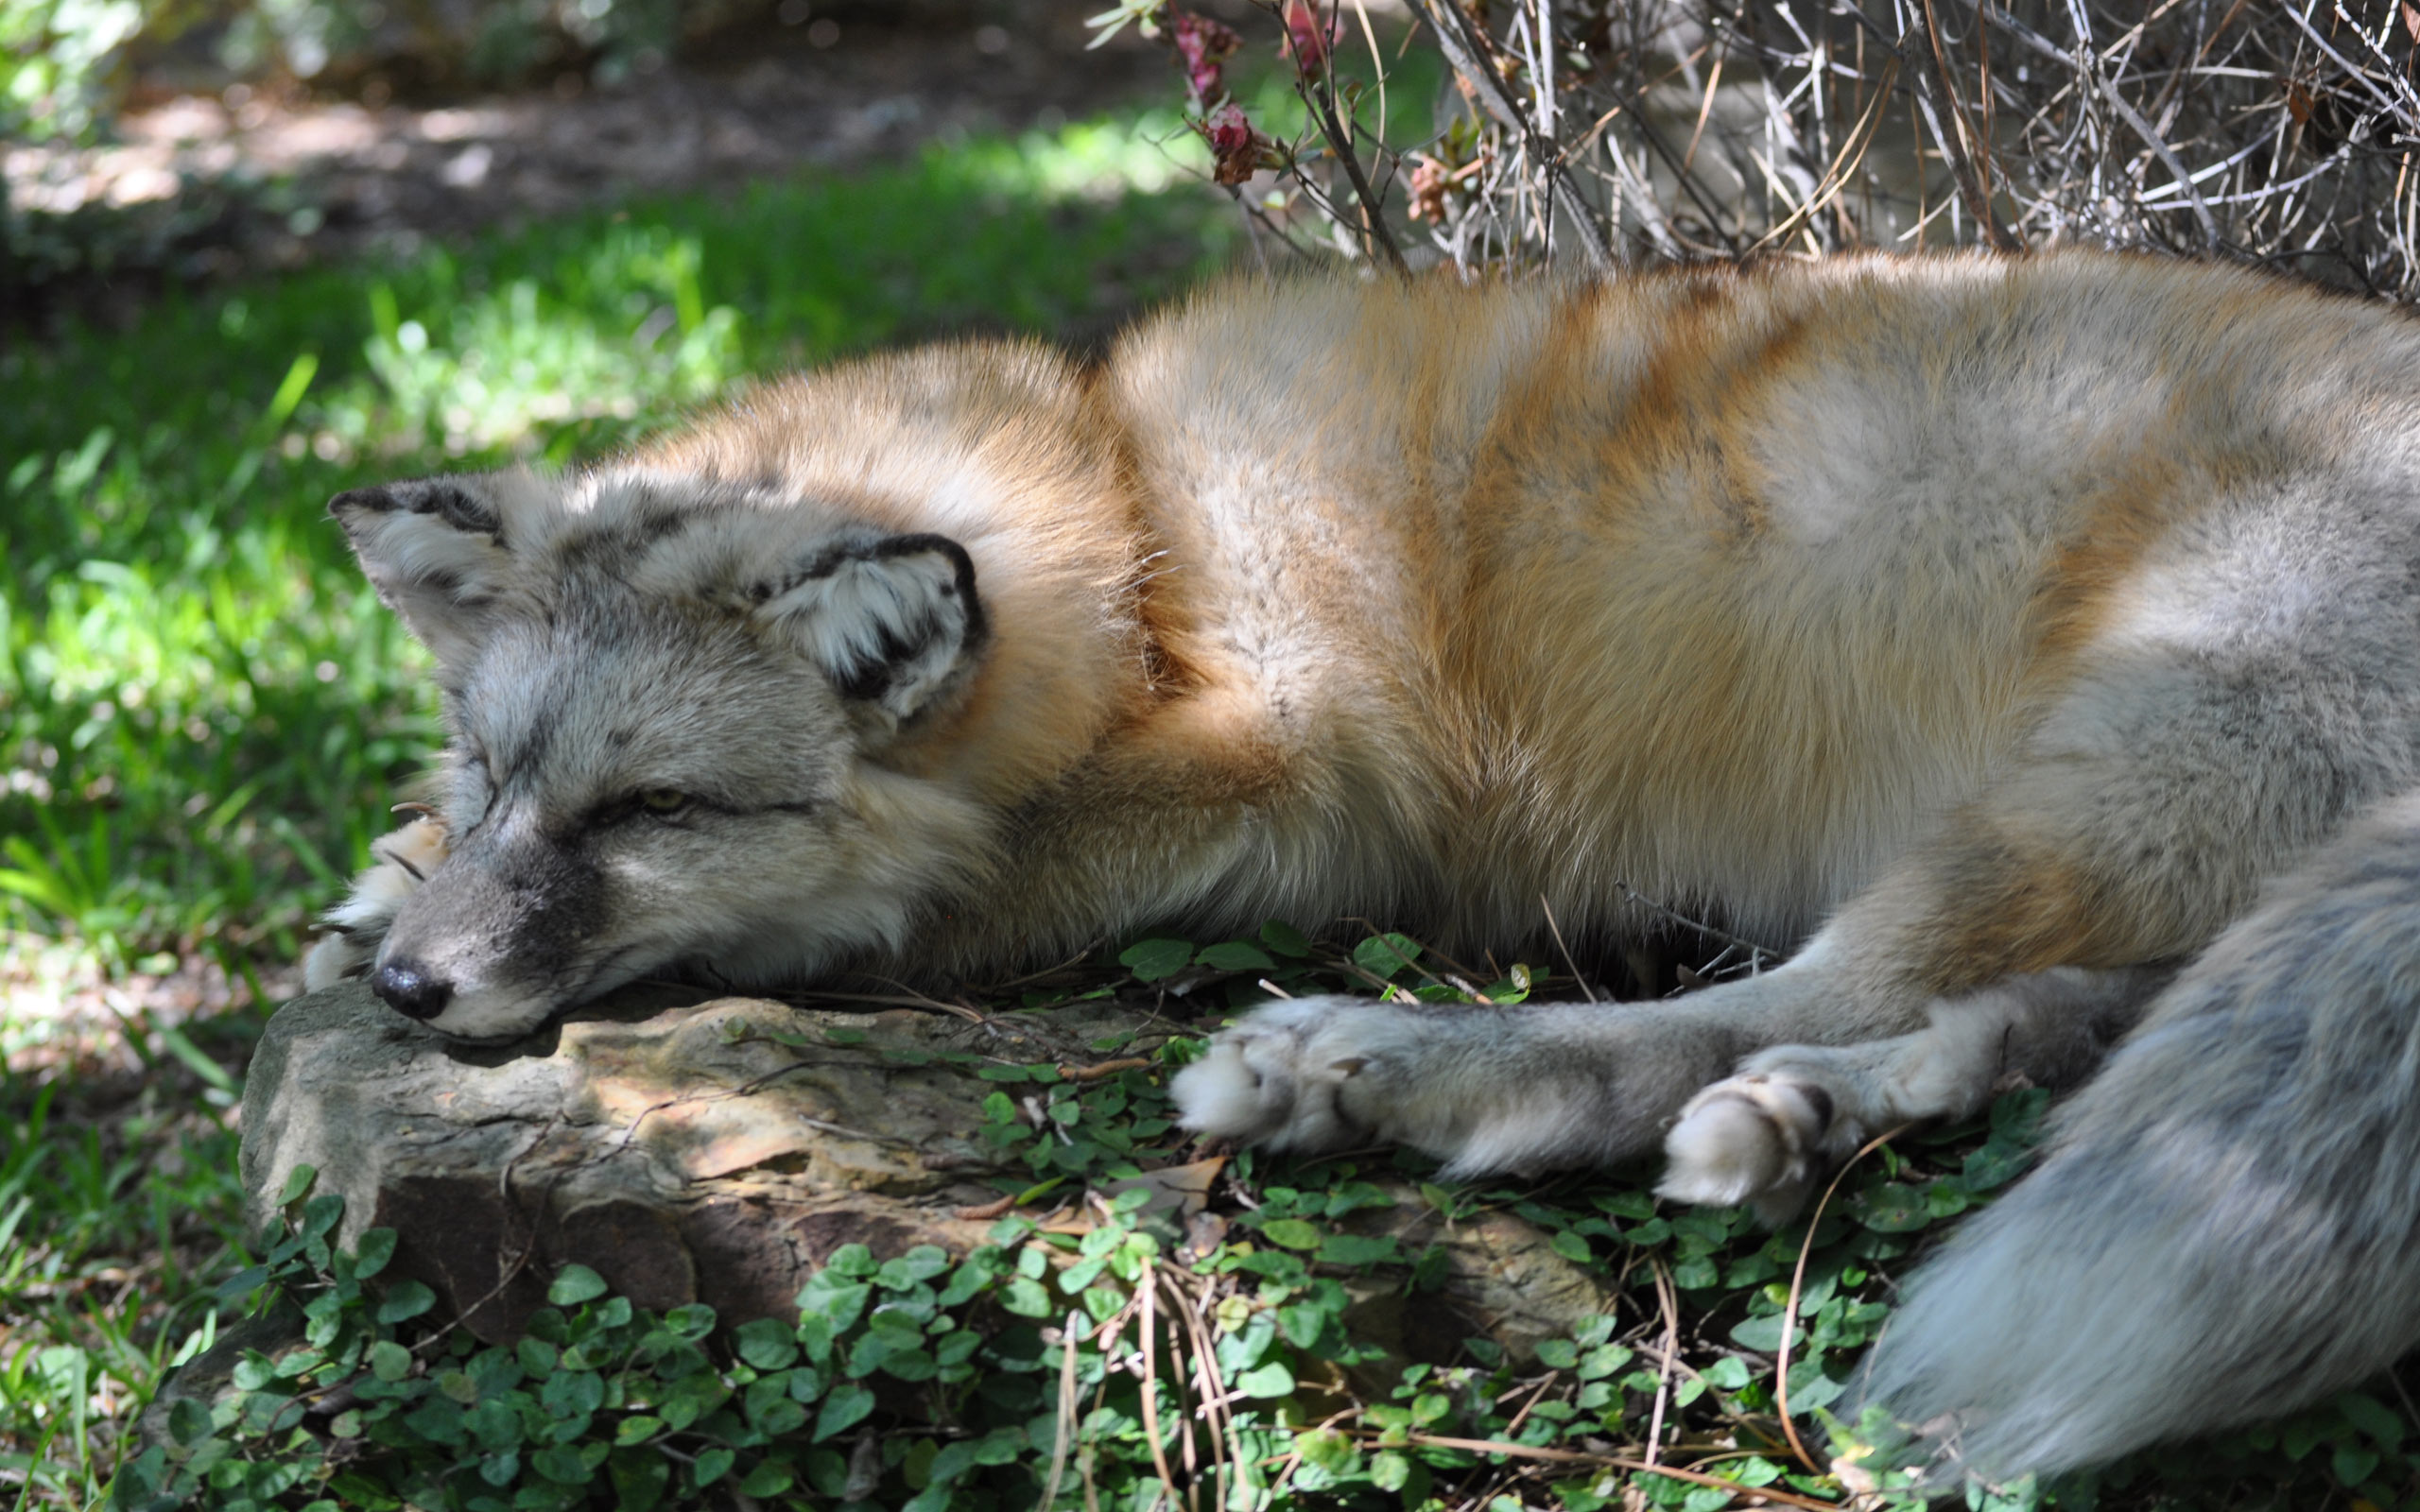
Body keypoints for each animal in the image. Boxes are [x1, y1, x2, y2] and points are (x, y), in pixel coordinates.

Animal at [308, 252, 2420, 1480]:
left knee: (1755, 1006)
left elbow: (971, 863)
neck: (1143, 528)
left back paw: (1401, 1070)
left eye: (644, 814)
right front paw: (377, 877)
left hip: (2089, 780)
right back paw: (1828, 1112)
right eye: (499, 767)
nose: (417, 991)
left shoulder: (1306, 770)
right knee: (2013, 1029)